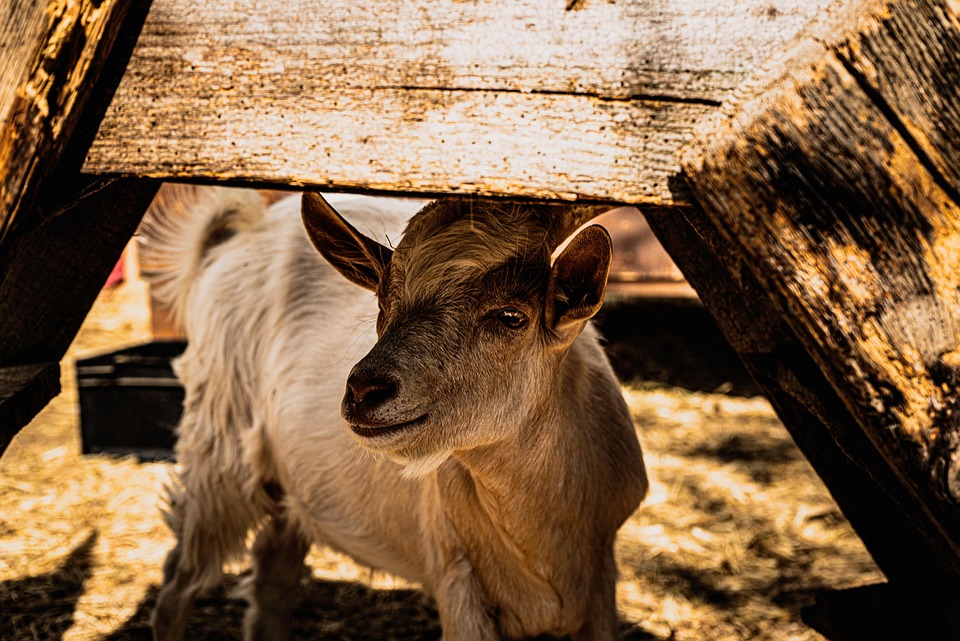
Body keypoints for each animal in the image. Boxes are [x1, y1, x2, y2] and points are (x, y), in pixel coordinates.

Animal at [143, 187, 648, 641]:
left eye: (511, 316)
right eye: (383, 304)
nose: (364, 390)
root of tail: (240, 236)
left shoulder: (600, 591)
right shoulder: (458, 580)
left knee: (271, 572)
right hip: (218, 454)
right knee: (178, 581)